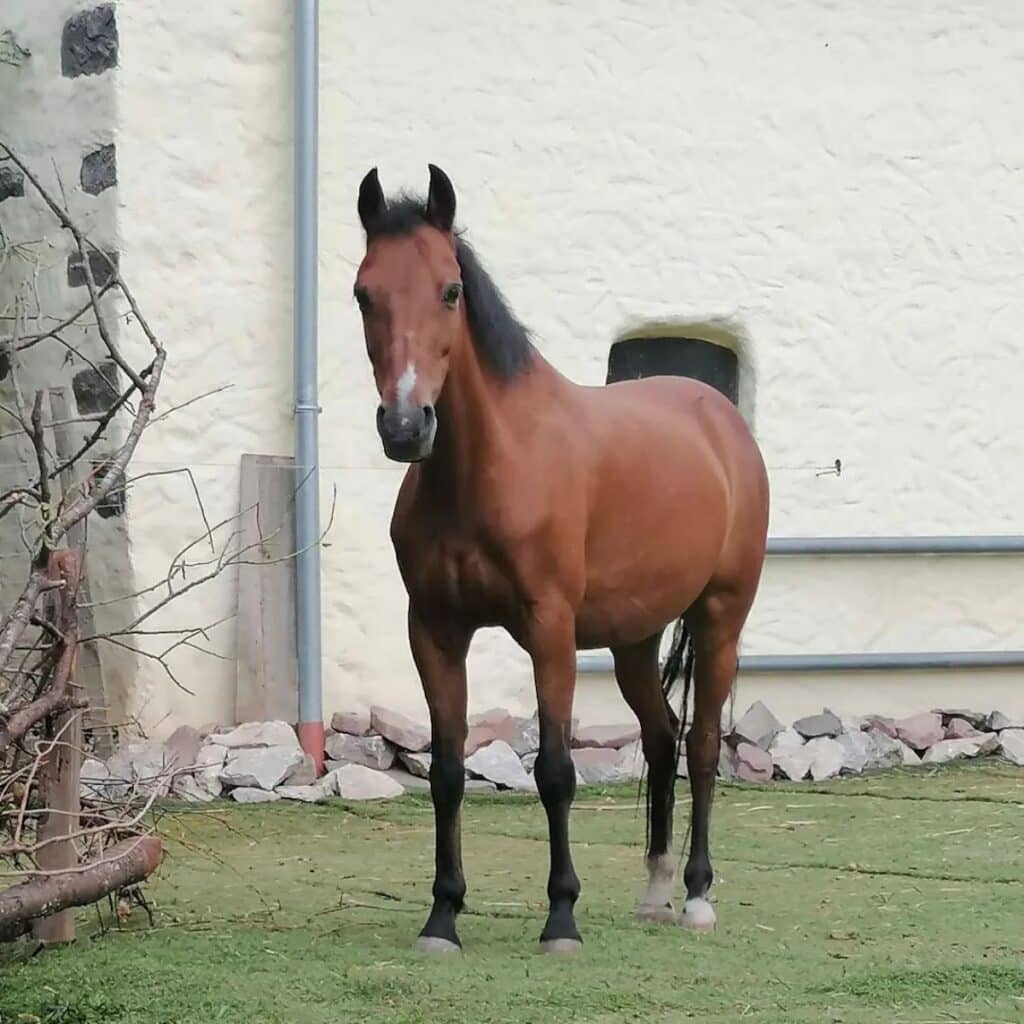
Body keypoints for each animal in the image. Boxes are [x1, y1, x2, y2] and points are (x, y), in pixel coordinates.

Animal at [353, 164, 770, 954]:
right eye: (364, 292)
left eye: (450, 290)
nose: (405, 426)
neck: (488, 468)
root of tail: (721, 421)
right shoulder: (435, 631)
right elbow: (446, 772)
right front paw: (443, 916)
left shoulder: (549, 631)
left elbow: (554, 770)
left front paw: (561, 917)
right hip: (635, 638)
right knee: (661, 739)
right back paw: (655, 891)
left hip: (720, 619)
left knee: (701, 744)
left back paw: (697, 895)